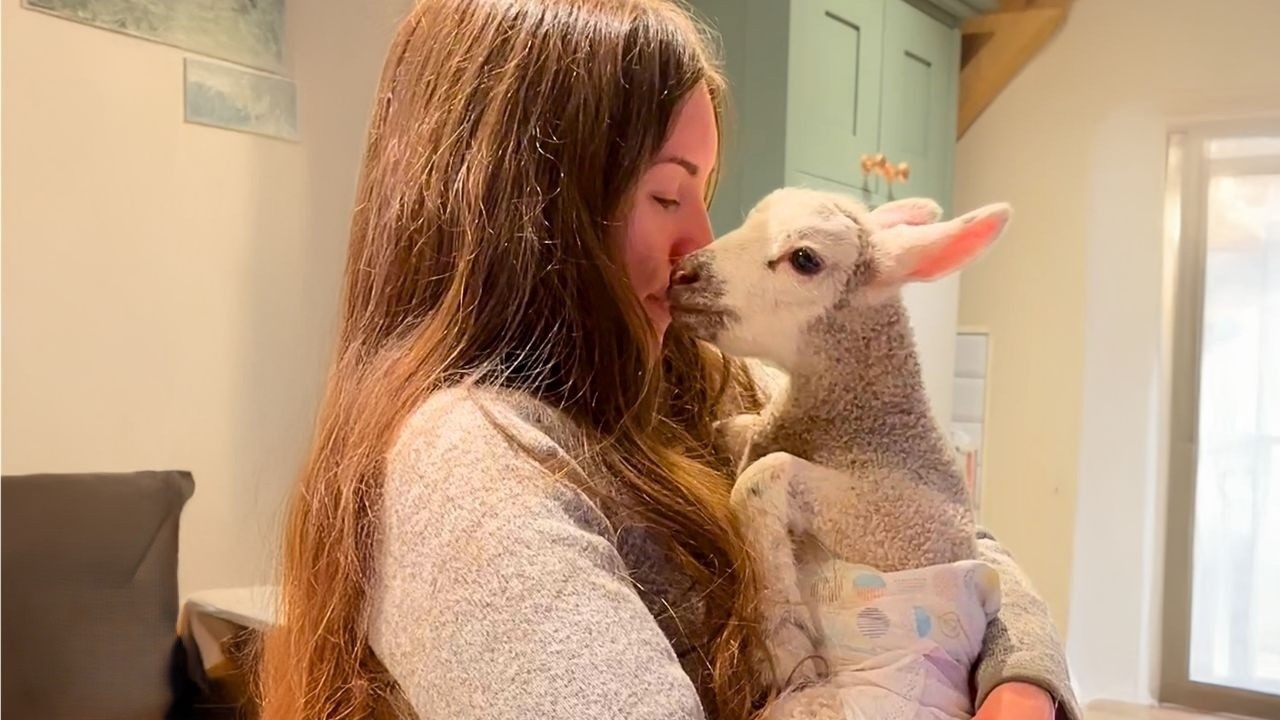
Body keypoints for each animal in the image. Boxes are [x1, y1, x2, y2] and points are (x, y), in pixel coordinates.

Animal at [669, 187, 1012, 719]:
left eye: (805, 259)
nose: (684, 273)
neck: (867, 429)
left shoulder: (899, 529)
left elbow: (761, 476)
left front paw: (782, 637)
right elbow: (738, 436)